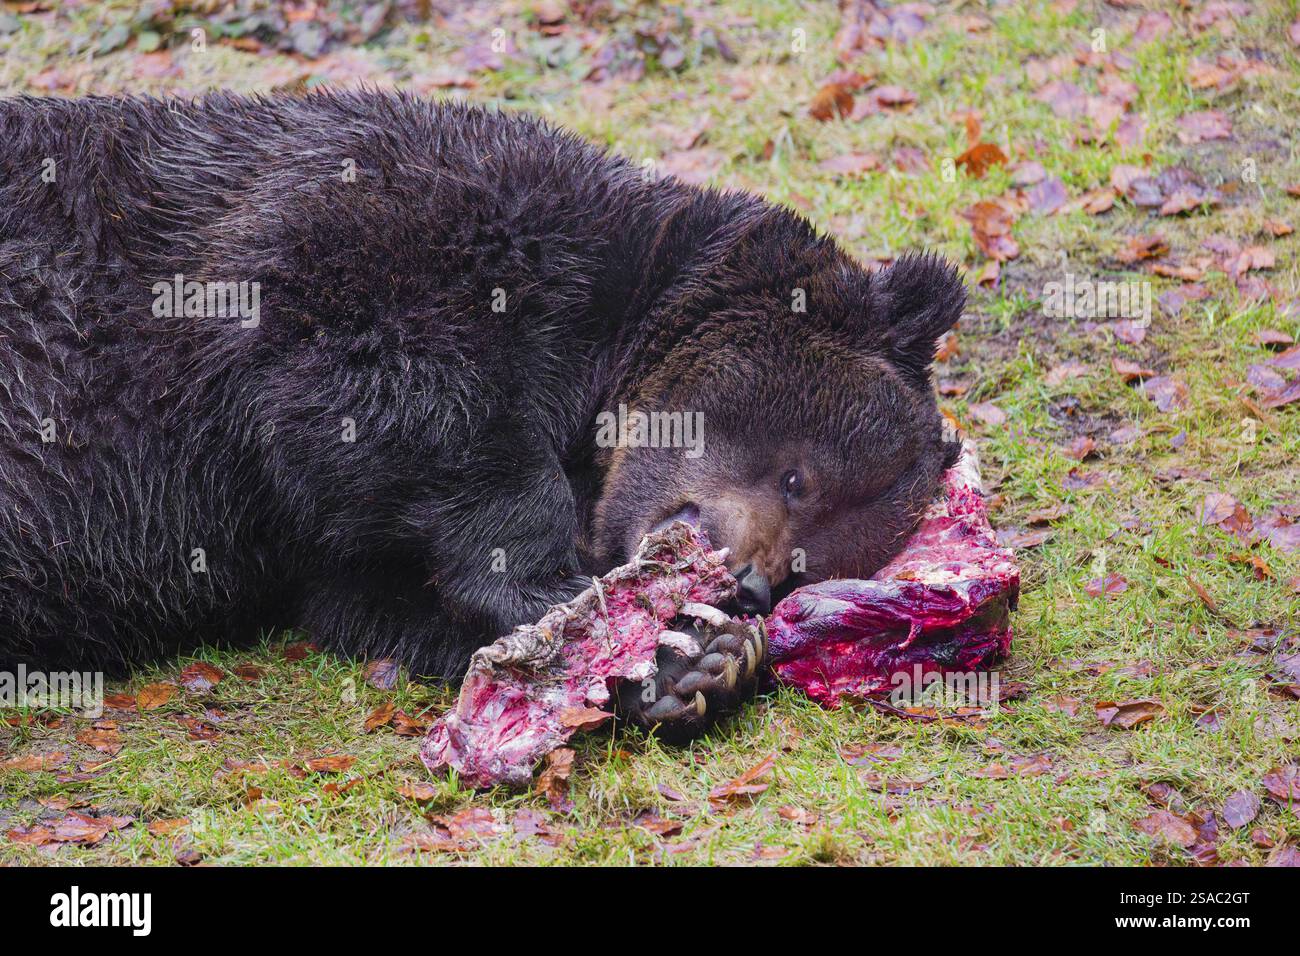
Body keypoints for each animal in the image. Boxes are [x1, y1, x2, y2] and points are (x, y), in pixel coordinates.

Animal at [0, 90, 964, 738]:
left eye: (813, 564)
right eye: (799, 477)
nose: (753, 582)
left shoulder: (304, 540)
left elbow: (374, 595)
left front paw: (695, 660)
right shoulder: (377, 235)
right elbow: (402, 399)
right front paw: (562, 587)